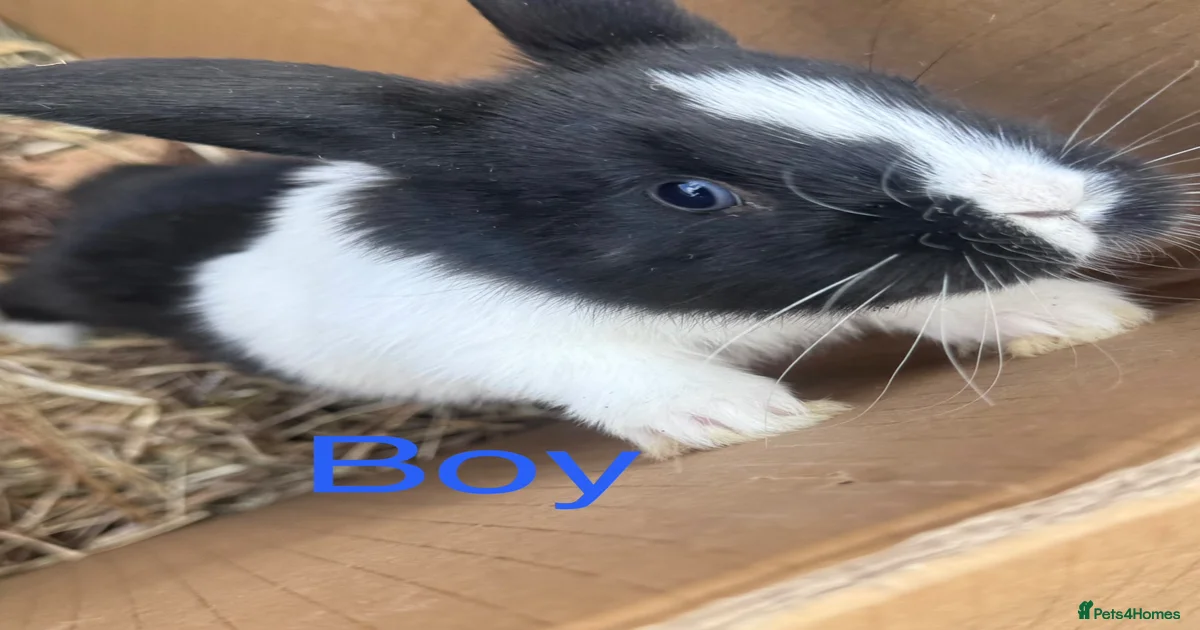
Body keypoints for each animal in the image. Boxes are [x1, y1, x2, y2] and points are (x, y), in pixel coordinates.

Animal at [0, 0, 1188, 459]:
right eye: (693, 195)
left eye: (883, 85)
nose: (1078, 207)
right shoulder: (510, 338)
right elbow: (606, 371)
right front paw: (741, 419)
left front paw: (1076, 316)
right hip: (87, 279)